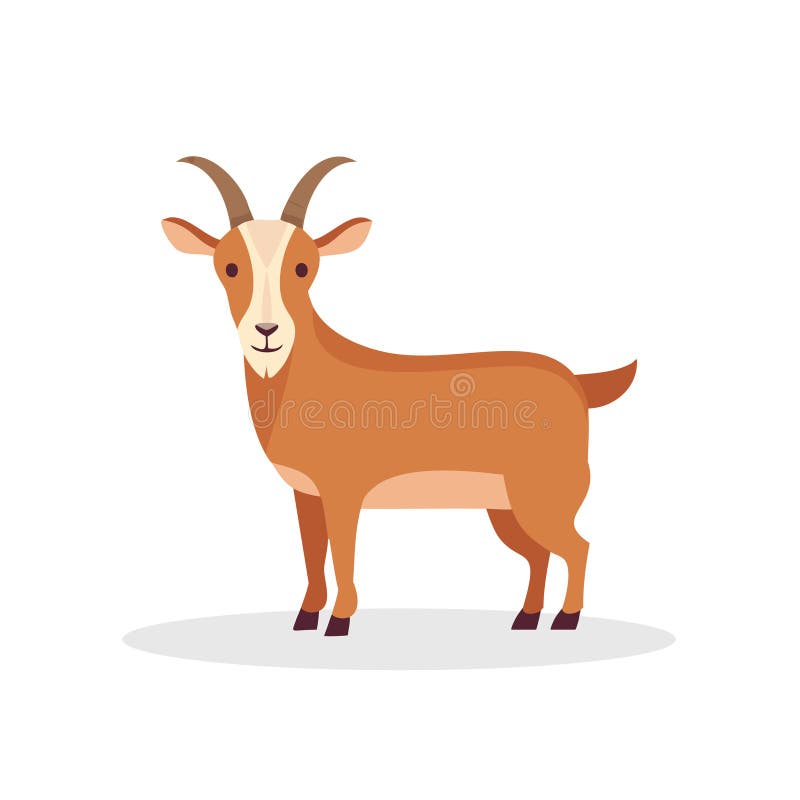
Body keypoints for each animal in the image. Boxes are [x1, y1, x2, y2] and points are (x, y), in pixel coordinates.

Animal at [162, 156, 636, 636]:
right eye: (229, 266)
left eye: (303, 267)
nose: (266, 331)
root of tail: (578, 381)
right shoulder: (307, 493)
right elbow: (313, 553)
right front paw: (306, 617)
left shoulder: (344, 490)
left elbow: (343, 552)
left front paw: (339, 622)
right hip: (507, 506)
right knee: (539, 554)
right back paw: (525, 619)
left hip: (544, 496)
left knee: (578, 546)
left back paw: (566, 619)